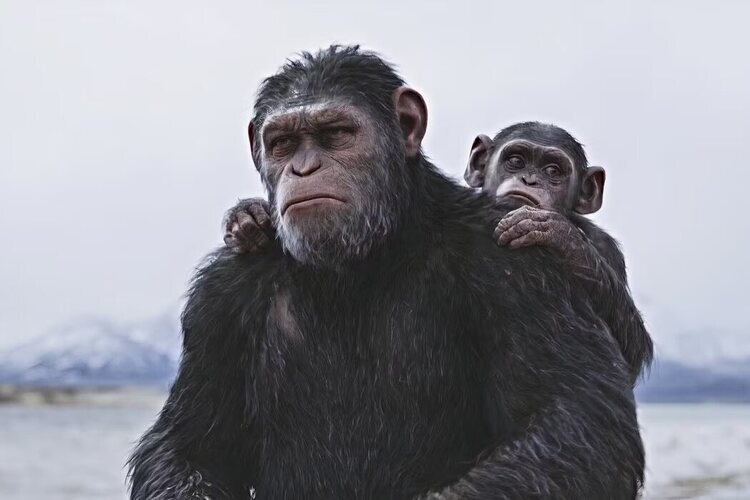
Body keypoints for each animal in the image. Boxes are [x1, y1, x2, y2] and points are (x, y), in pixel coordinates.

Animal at [129, 45, 644, 500]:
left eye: (336, 132)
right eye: (282, 143)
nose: (303, 167)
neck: (367, 255)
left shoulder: (516, 259)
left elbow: (574, 415)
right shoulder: (217, 299)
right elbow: (192, 447)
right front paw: (247, 219)